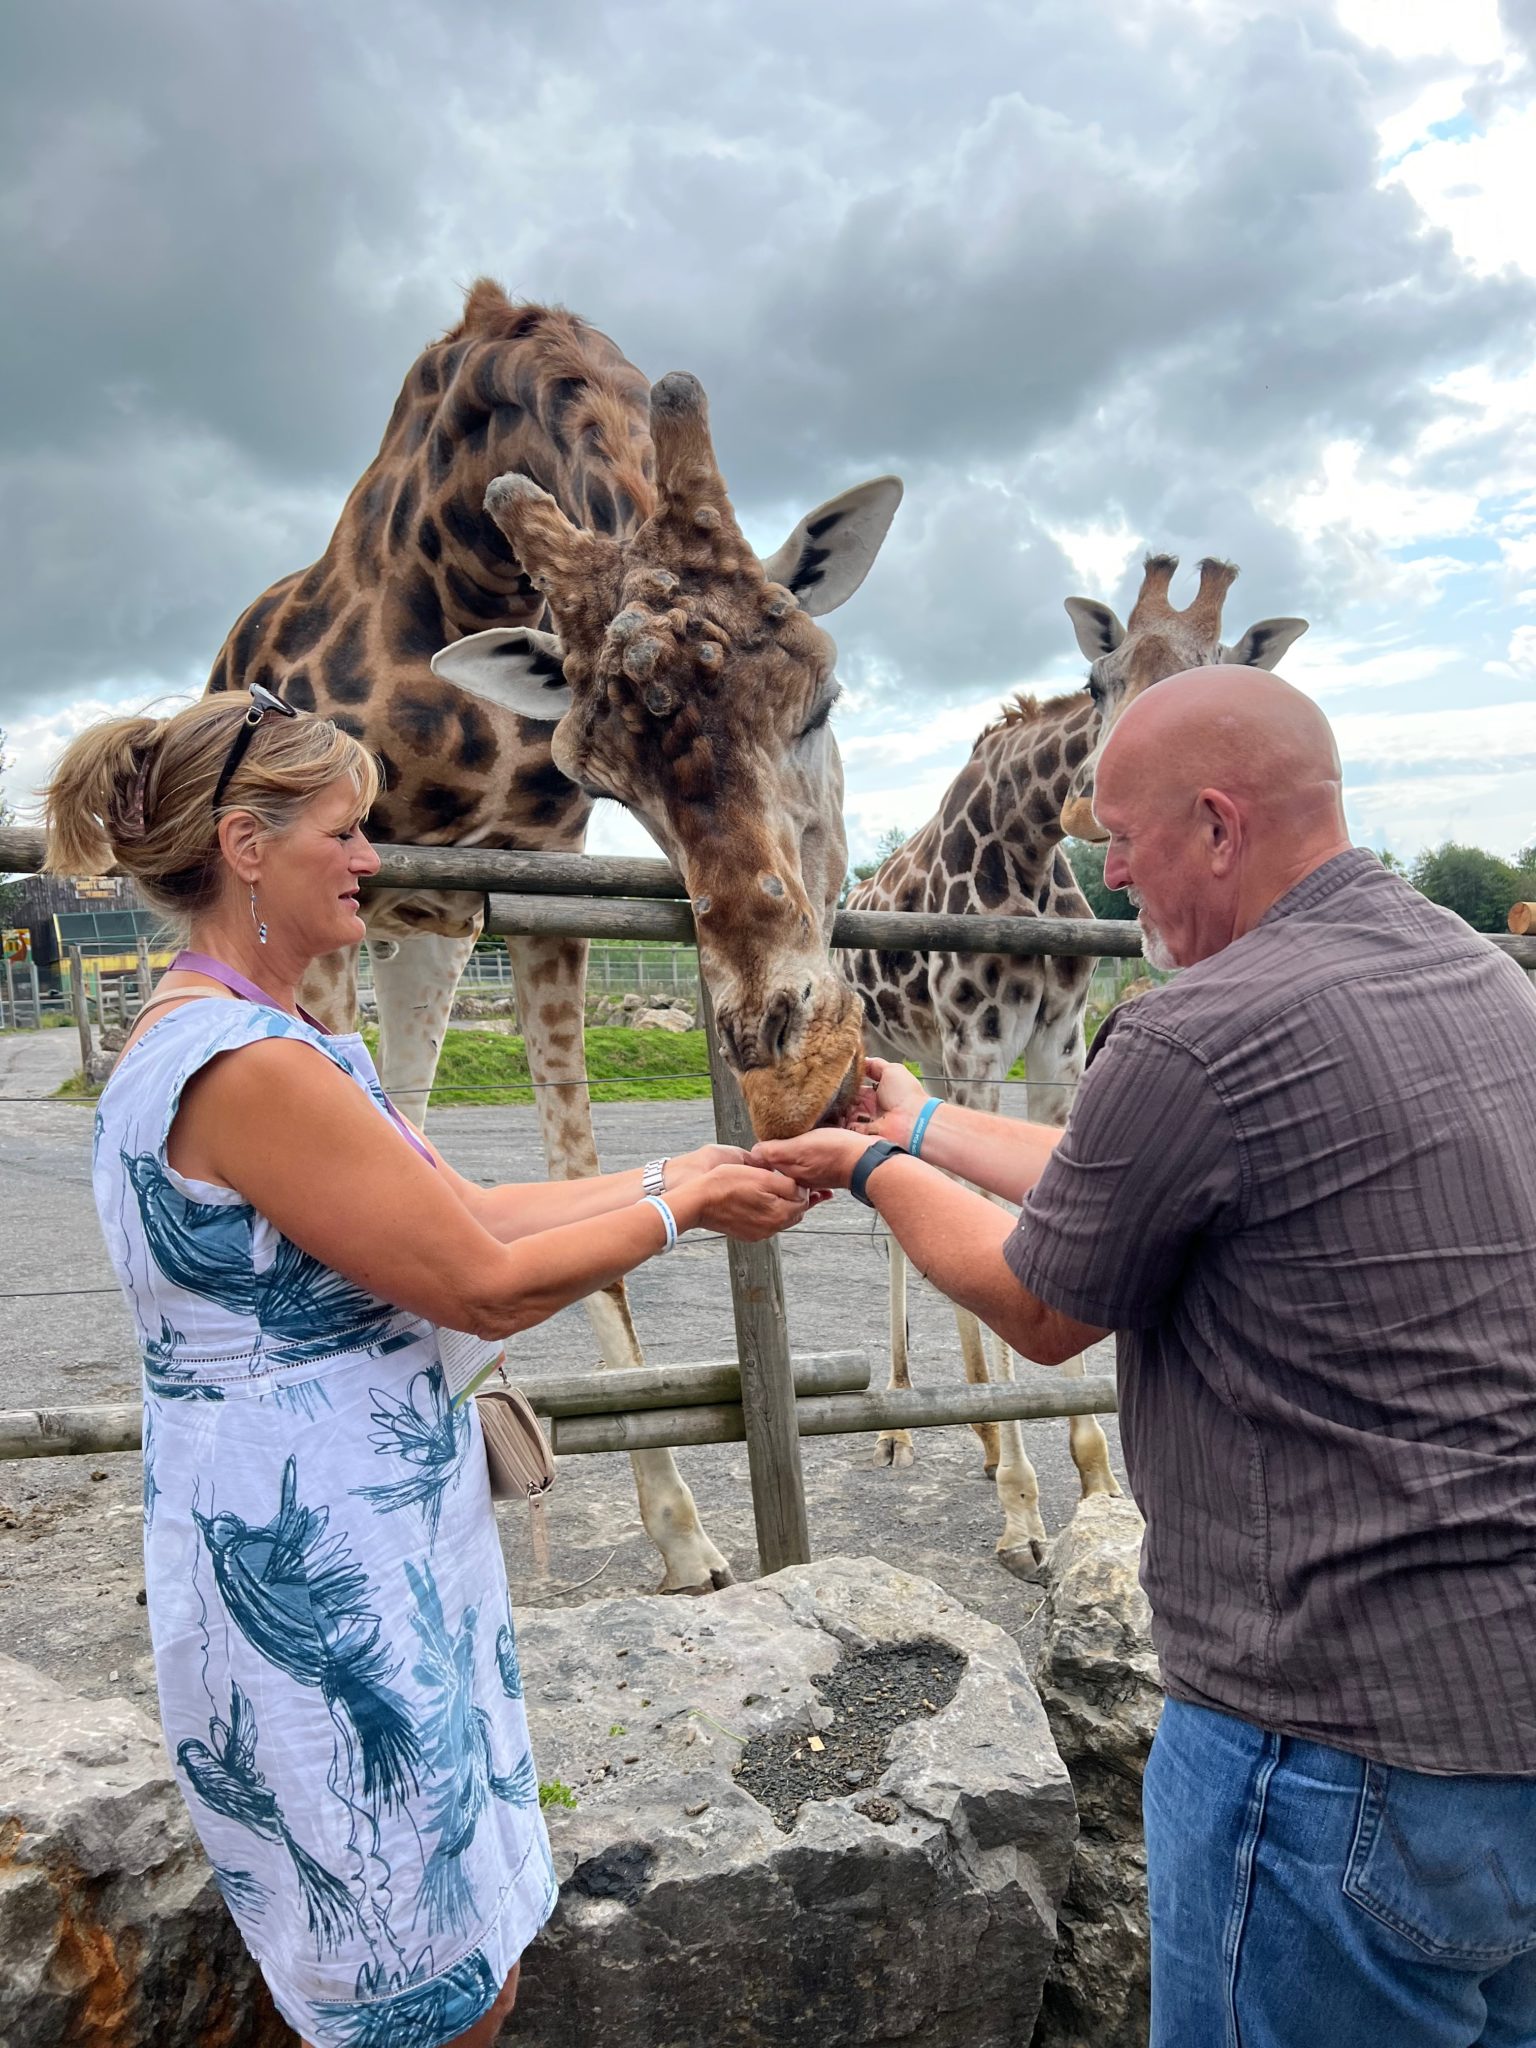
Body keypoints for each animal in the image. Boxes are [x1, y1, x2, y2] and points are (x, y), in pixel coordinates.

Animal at [206, 278, 902, 1593]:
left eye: (823, 698)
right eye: (606, 772)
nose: (790, 1064)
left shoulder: (535, 890)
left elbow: (578, 1180)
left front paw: (685, 1537)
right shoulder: (313, 907)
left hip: (427, 935)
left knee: (412, 1114)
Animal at [840, 554, 1308, 1573]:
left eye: (1220, 682)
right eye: (1098, 680)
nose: (1094, 801)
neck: (1020, 848)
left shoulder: (1051, 1043)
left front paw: (1096, 1487)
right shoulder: (979, 1040)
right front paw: (1023, 1517)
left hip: (932, 1065)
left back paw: (976, 1429)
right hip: (884, 1048)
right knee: (891, 1221)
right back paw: (897, 1426)